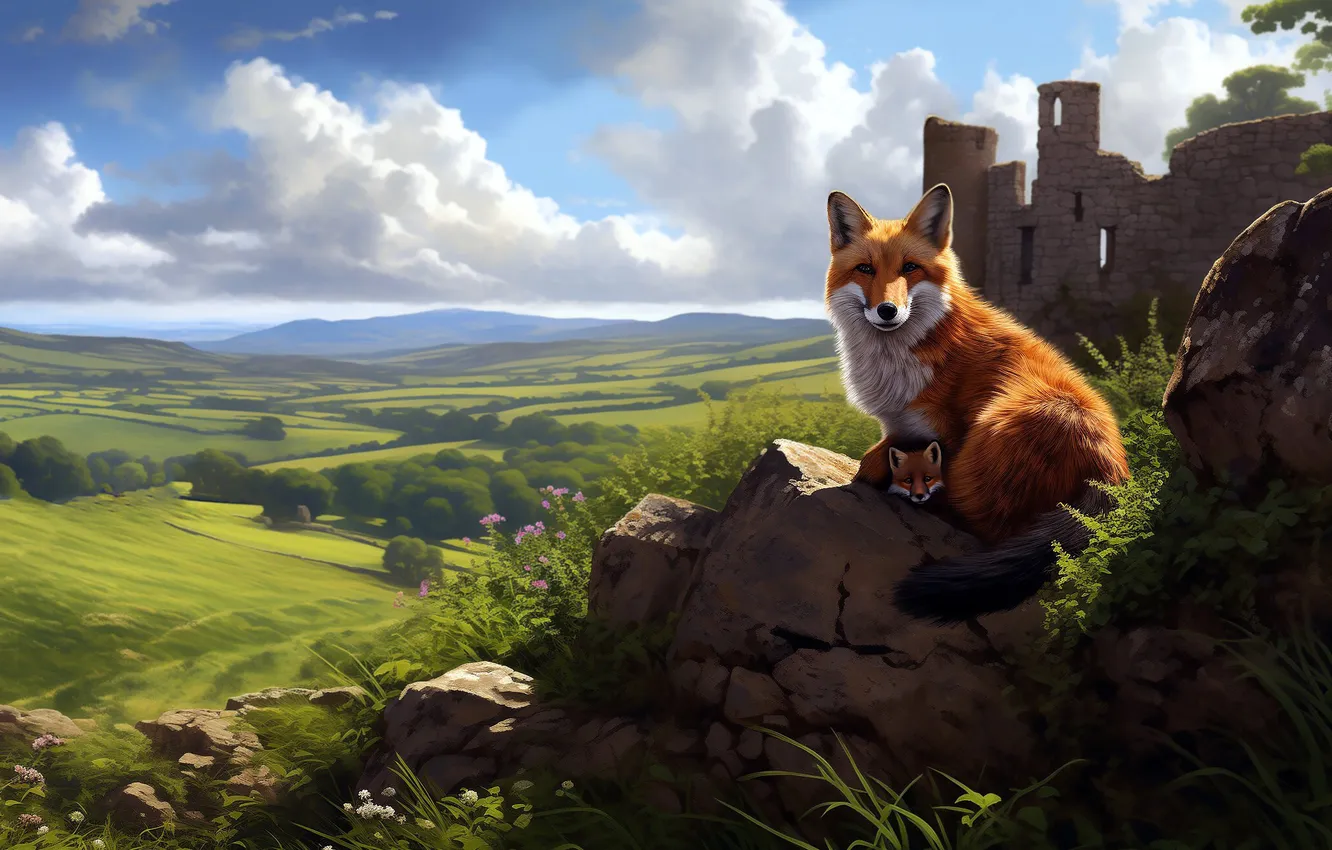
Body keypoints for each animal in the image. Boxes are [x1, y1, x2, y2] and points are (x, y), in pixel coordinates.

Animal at [824, 183, 1129, 625]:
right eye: (865, 269)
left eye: (910, 268)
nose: (887, 311)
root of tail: (1112, 472)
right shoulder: (896, 425)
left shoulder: (941, 433)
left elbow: (892, 463)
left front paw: (883, 472)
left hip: (994, 429)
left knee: (981, 524)